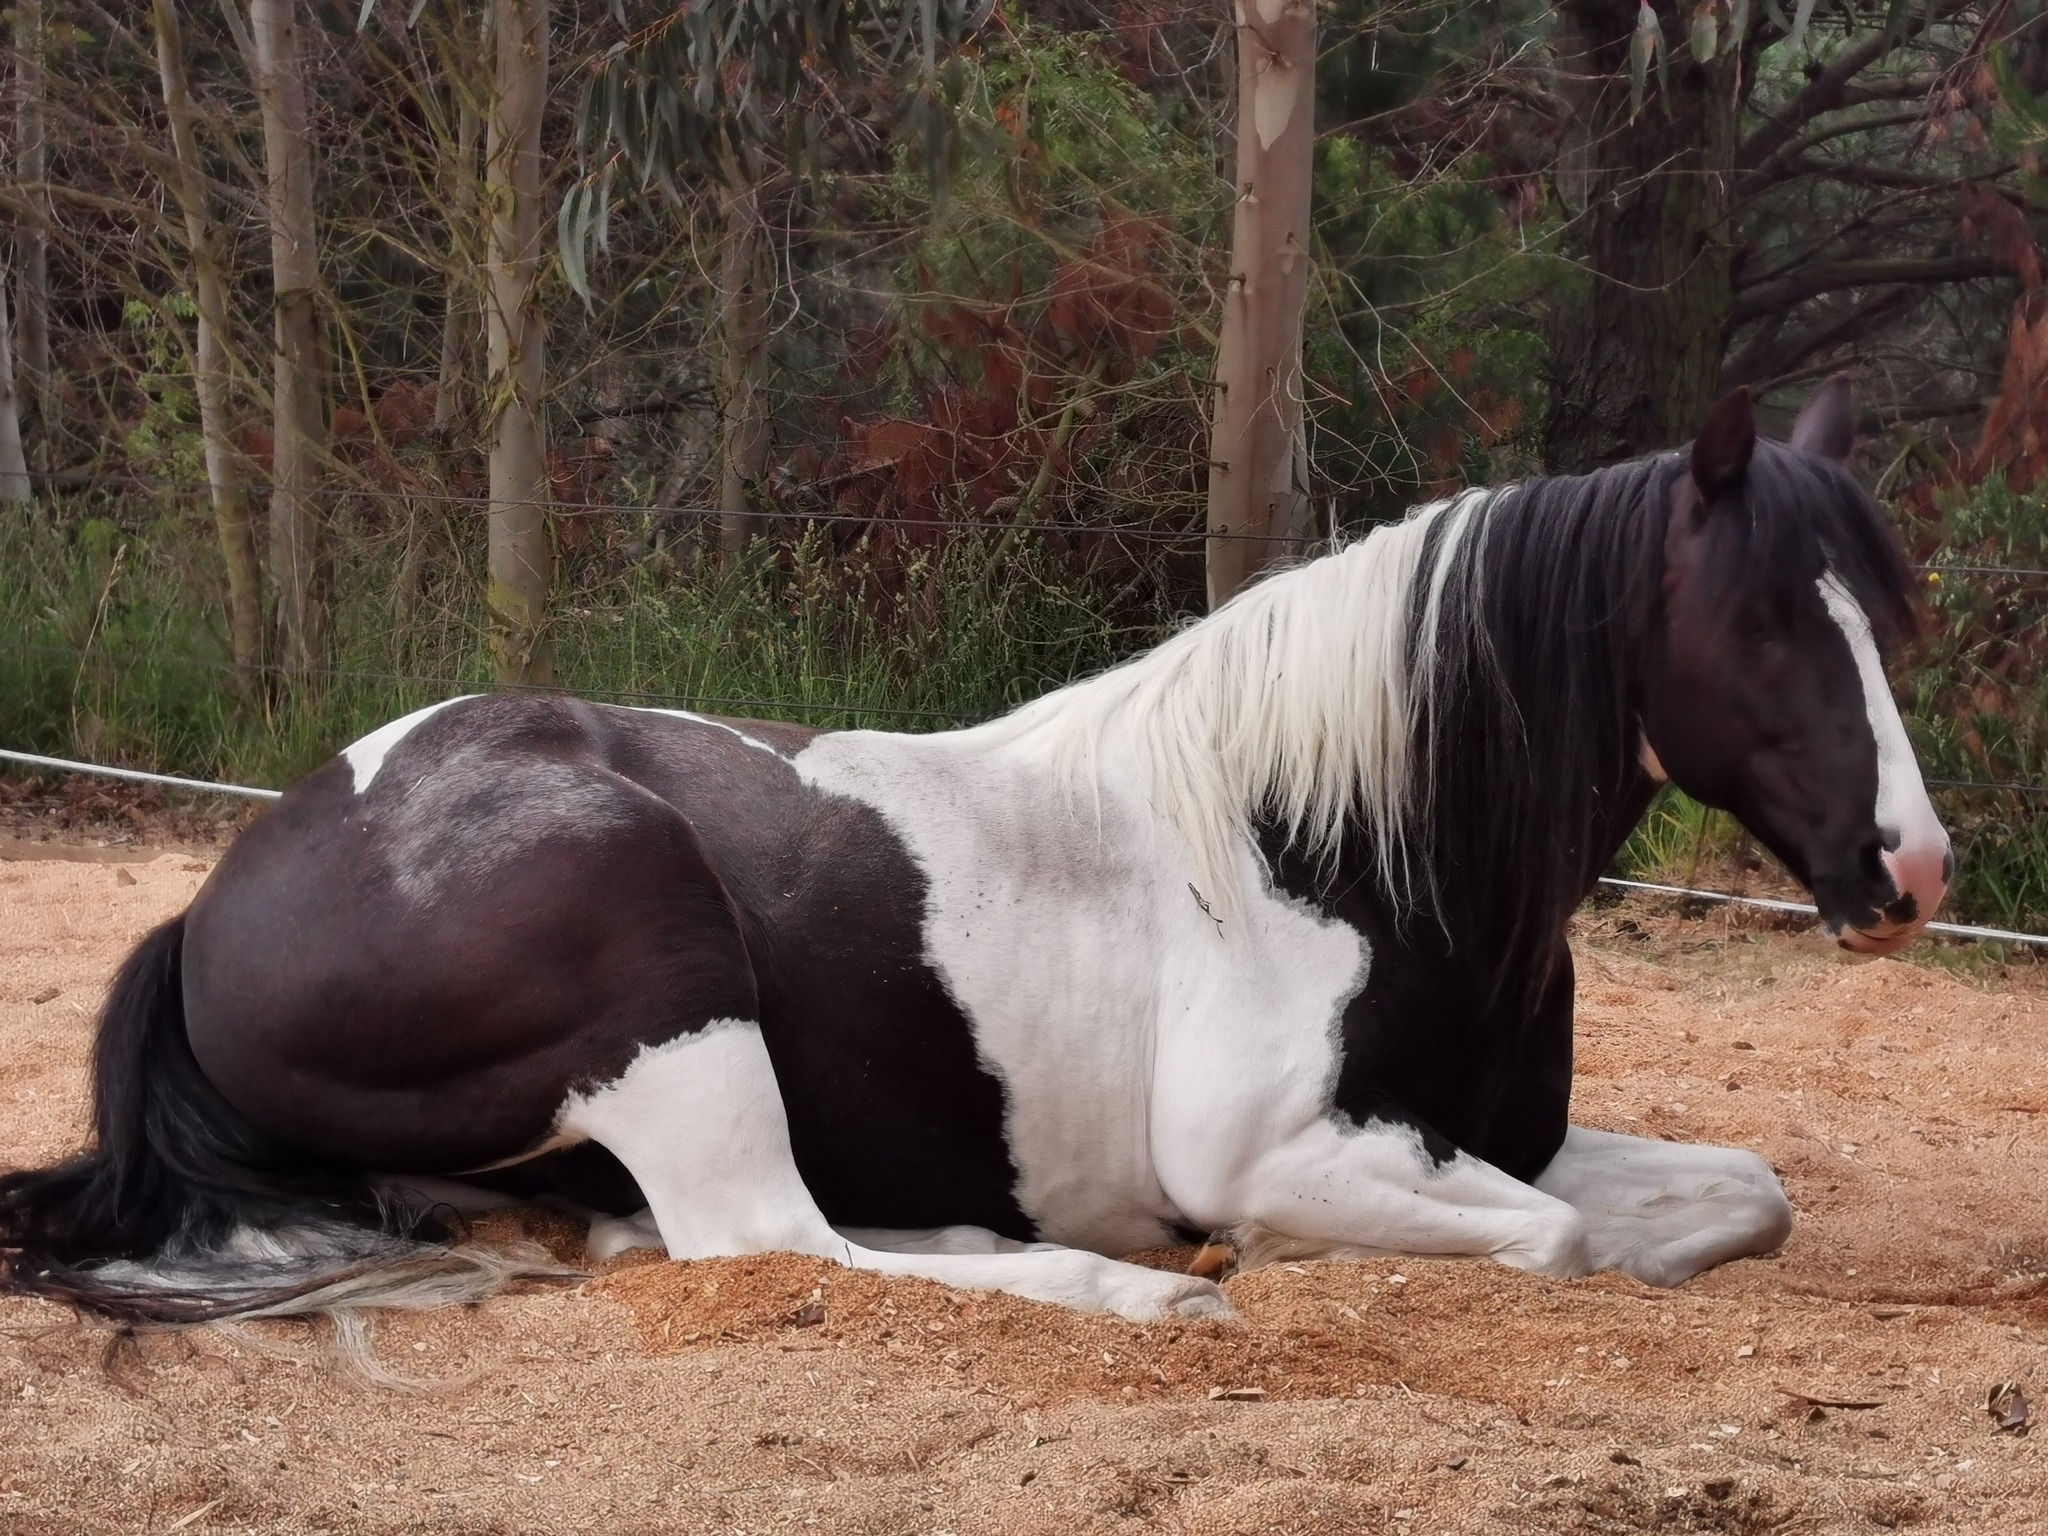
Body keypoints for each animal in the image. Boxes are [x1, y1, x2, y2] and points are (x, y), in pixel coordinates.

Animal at [0, 379, 1951, 1324]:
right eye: (1768, 619)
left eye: (1888, 609)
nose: (1914, 872)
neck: (1327, 851)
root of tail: (223, 900)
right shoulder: (1277, 1153)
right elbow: (1551, 1244)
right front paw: (1263, 1265)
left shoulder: (1495, 1133)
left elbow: (1735, 1200)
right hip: (657, 961)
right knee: (760, 1237)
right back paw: (1133, 1290)